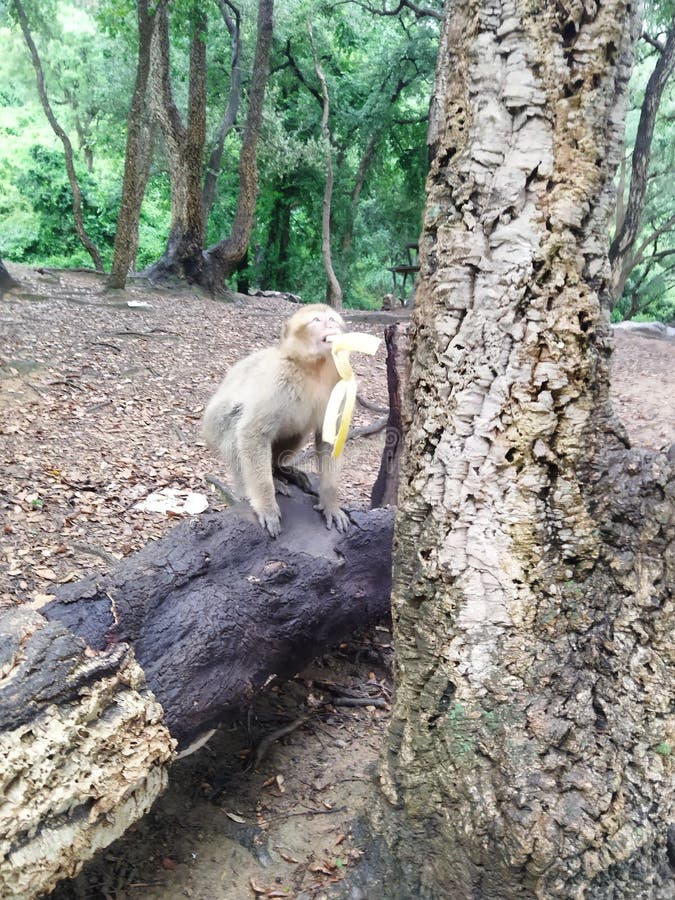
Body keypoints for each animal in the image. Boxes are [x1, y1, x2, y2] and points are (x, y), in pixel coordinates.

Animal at [202, 303, 350, 538]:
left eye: (332, 319)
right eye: (317, 320)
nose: (330, 326)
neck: (314, 368)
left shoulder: (337, 383)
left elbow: (329, 437)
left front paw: (330, 503)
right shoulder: (278, 379)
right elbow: (252, 432)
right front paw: (266, 506)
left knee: (295, 432)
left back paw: (280, 470)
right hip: (215, 429)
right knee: (237, 422)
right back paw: (260, 484)